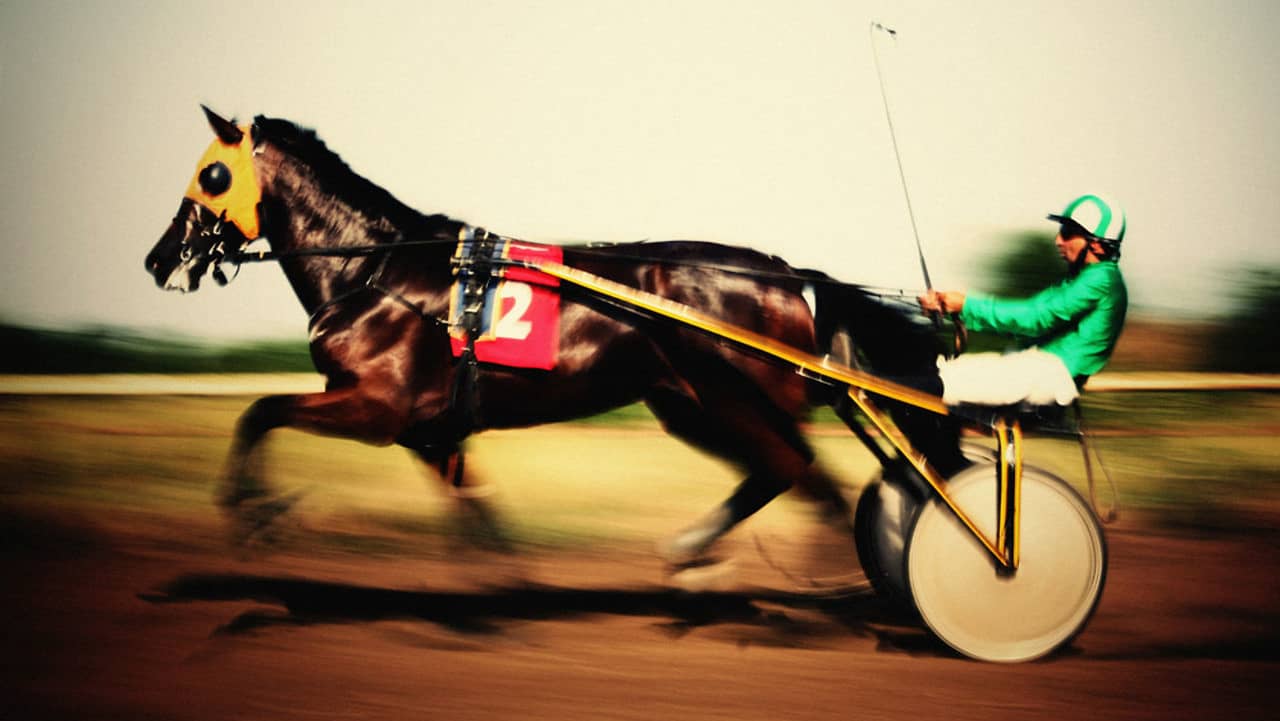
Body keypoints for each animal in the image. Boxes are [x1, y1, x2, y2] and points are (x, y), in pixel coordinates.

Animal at [144, 107, 966, 563]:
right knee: (779, 473)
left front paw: (252, 510)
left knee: (801, 473)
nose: (158, 259)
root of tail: (787, 273)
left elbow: (260, 411)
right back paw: (695, 553)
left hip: (740, 398)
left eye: (209, 175)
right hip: (689, 404)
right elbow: (470, 506)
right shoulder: (423, 428)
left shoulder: (376, 406)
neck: (375, 267)